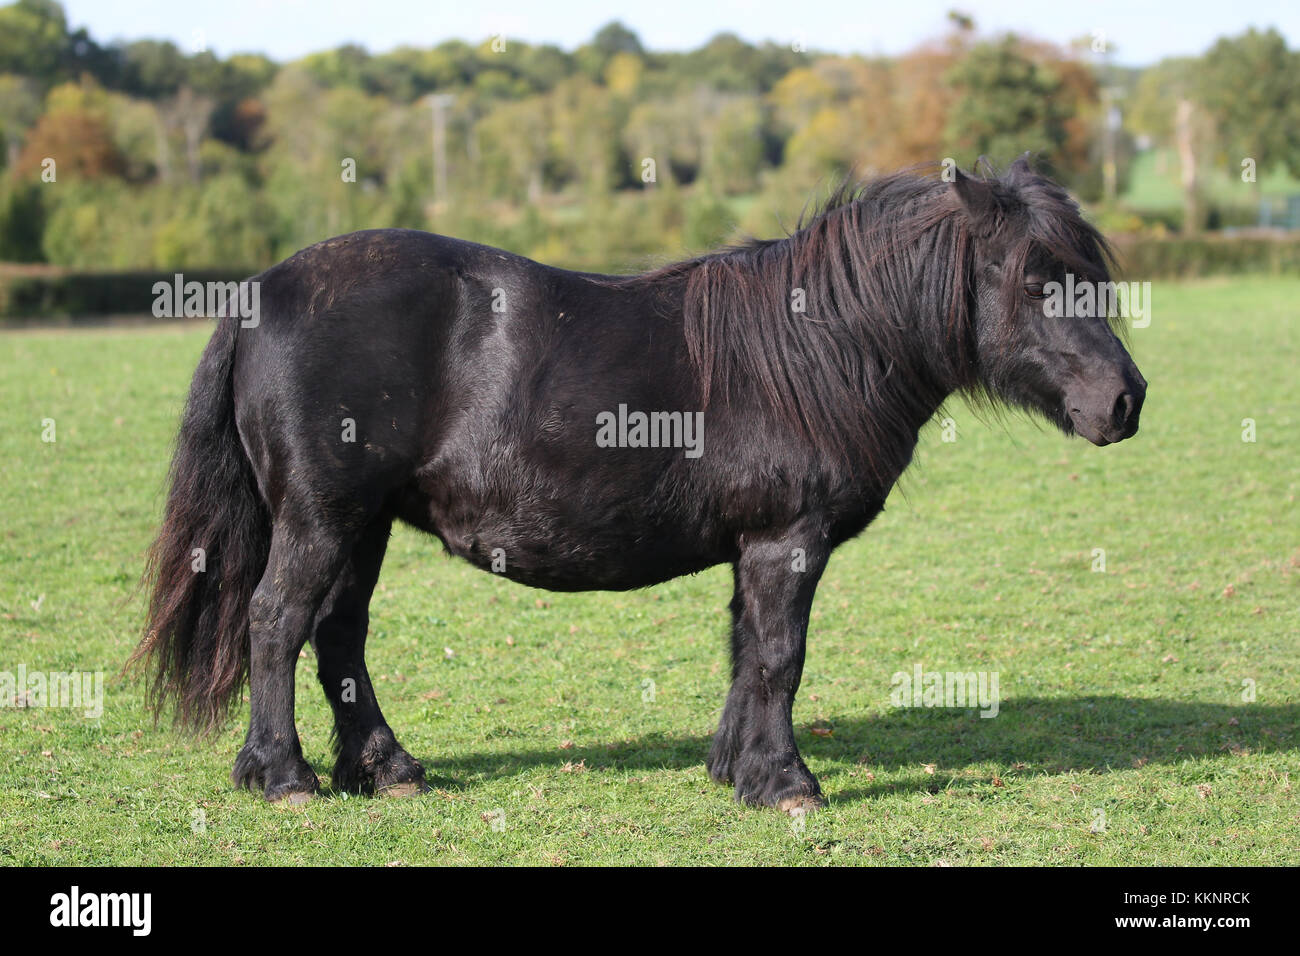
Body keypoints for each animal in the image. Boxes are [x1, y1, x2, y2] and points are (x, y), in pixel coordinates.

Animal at [134, 157, 1146, 813]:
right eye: (1037, 280)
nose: (1126, 400)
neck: (819, 348)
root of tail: (261, 292)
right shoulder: (788, 541)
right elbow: (781, 657)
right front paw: (787, 785)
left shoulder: (754, 547)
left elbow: (746, 652)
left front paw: (737, 770)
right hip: (322, 517)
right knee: (277, 623)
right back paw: (284, 777)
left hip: (364, 524)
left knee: (338, 635)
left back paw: (386, 768)